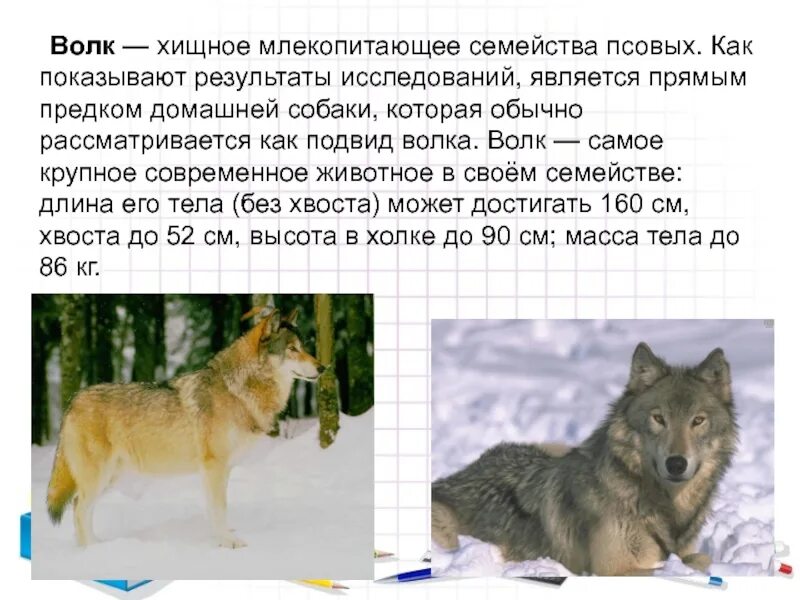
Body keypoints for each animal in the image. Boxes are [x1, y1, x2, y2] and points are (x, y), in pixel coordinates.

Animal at [46, 307, 324, 549]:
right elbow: (220, 508)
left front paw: (221, 537)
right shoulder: (214, 466)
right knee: (79, 509)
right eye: (292, 349)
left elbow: (216, 509)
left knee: (80, 508)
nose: (323, 368)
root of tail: (73, 400)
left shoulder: (222, 470)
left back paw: (97, 545)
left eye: (304, 348)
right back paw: (91, 550)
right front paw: (229, 543)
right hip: (98, 477)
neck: (237, 390)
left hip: (109, 478)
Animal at [431, 343, 738, 575]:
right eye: (659, 419)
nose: (676, 464)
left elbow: (697, 557)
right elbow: (691, 562)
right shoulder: (613, 570)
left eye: (697, 421)